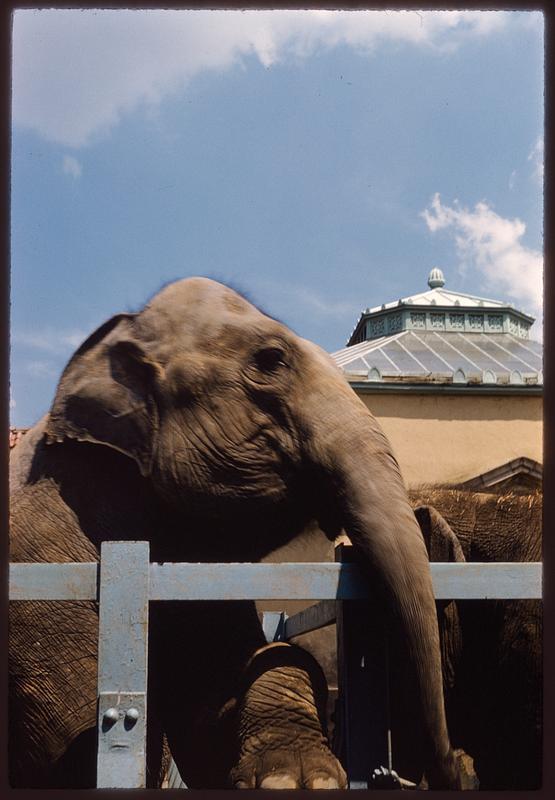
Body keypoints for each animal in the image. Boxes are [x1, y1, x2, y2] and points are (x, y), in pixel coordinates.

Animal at [9, 277, 460, 789]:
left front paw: (297, 777)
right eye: (271, 360)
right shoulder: (51, 559)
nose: (448, 769)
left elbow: (209, 717)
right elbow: (82, 740)